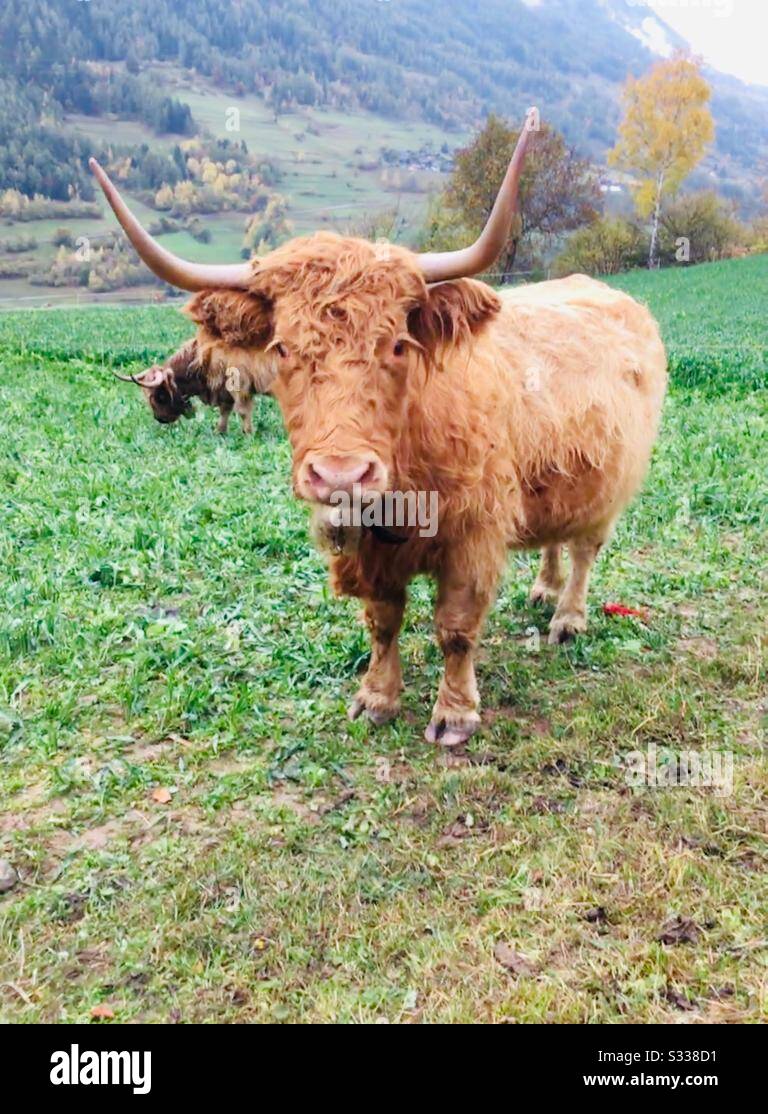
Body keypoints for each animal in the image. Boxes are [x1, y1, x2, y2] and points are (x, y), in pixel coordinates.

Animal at [90, 112, 667, 747]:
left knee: (586, 547)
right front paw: (377, 698)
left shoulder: (474, 535)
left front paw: (455, 714)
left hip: (612, 482)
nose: (341, 473)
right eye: (282, 347)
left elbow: (456, 627)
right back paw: (543, 589)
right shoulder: (366, 547)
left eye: (396, 343)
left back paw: (567, 617)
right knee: (555, 536)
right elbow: (382, 619)